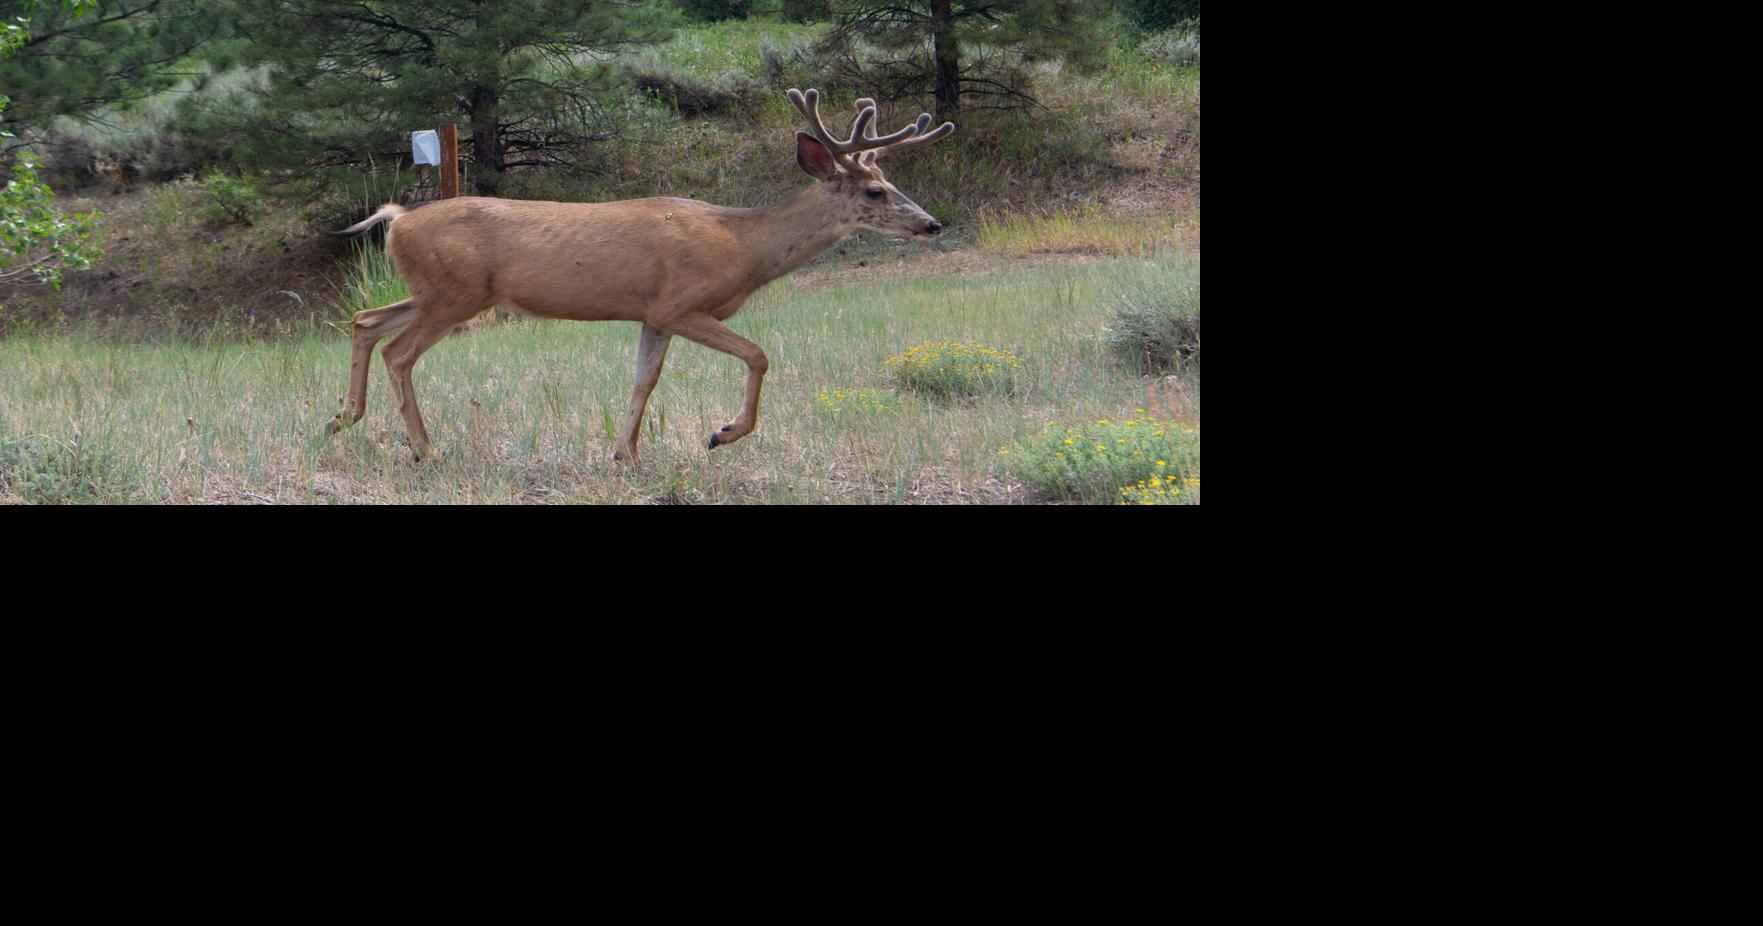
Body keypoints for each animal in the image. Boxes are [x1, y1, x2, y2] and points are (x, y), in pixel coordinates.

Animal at [323, 88, 954, 465]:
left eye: (891, 183)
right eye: (875, 192)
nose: (931, 223)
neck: (744, 247)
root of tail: (398, 219)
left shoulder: (653, 315)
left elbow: (643, 381)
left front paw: (624, 454)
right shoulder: (682, 302)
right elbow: (758, 355)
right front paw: (722, 433)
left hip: (437, 290)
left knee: (364, 319)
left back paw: (342, 418)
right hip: (455, 293)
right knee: (398, 352)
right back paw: (424, 448)